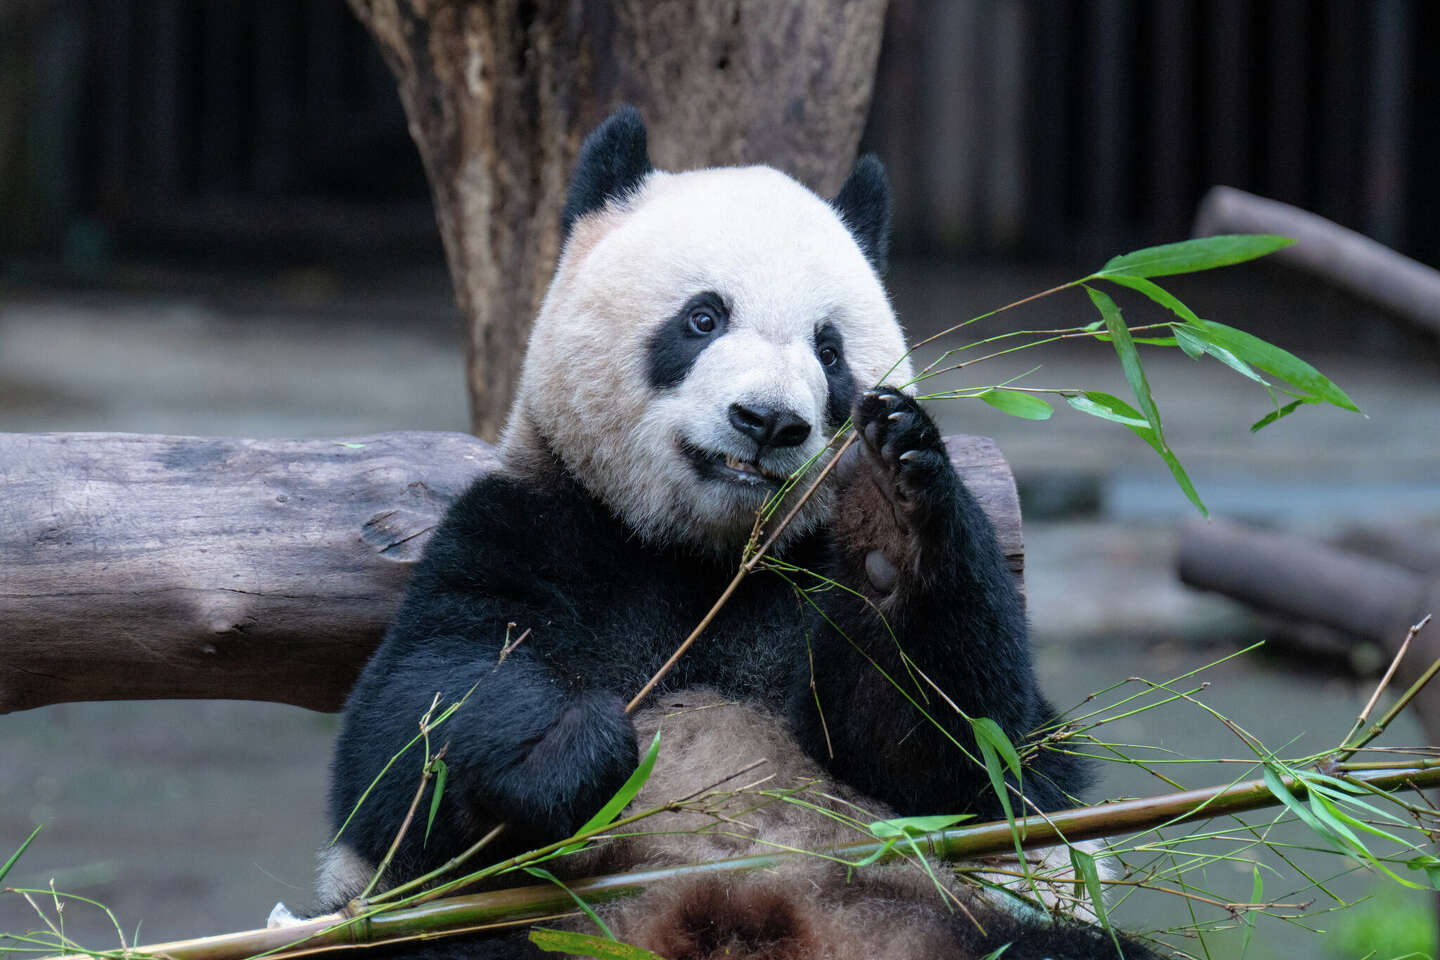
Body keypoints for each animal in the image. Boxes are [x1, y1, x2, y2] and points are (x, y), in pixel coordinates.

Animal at [318, 107, 1160, 960]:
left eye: (830, 350)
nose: (769, 421)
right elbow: (411, 727)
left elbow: (954, 753)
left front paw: (893, 524)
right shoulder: (534, 525)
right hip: (516, 929)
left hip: (938, 917)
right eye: (702, 317)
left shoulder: (810, 579)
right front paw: (569, 740)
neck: (709, 555)